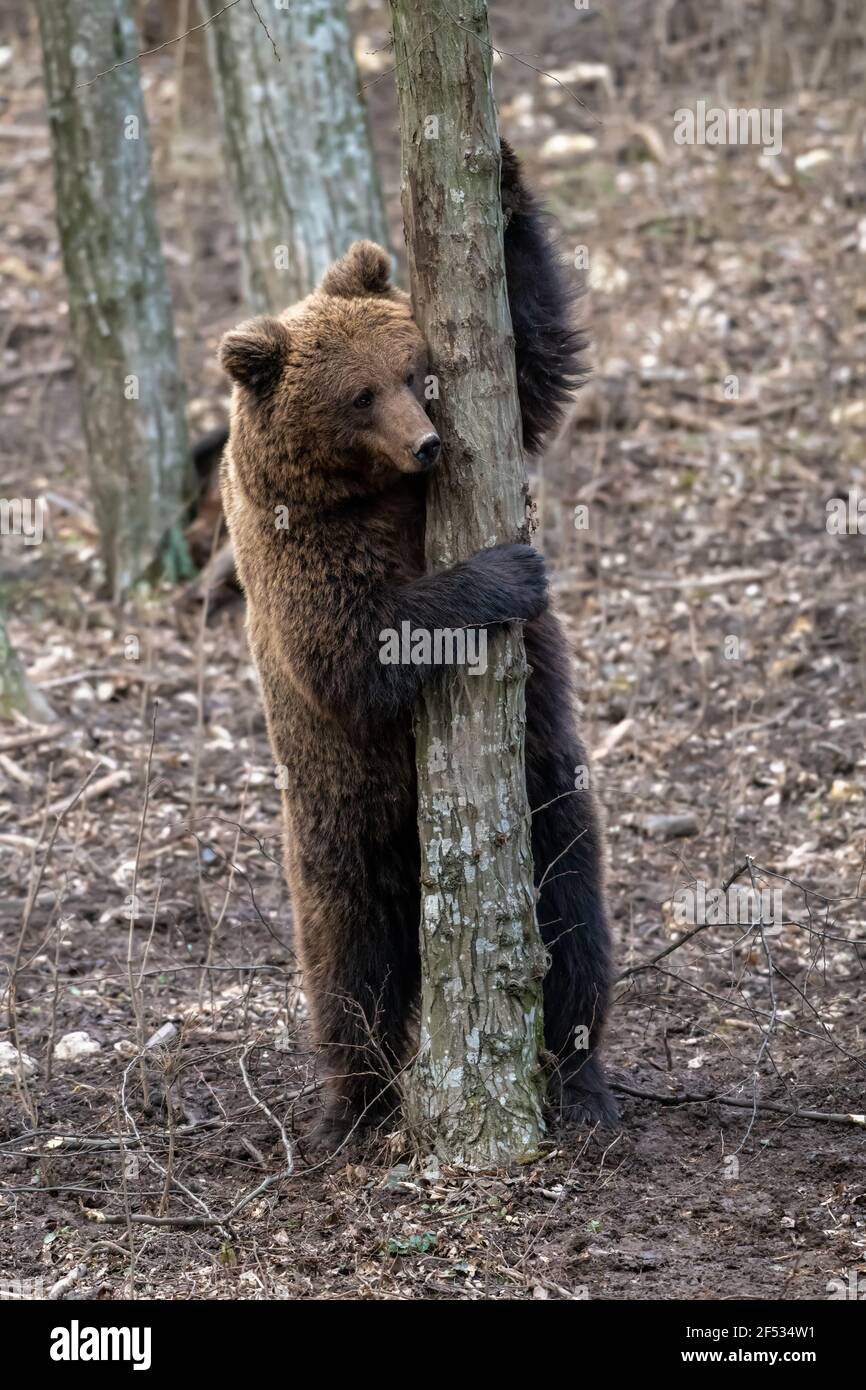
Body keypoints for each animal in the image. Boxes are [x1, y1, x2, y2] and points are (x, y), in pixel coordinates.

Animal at [218, 143, 616, 1147]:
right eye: (358, 395)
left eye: (415, 370)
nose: (431, 445)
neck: (366, 489)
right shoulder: (296, 546)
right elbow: (356, 647)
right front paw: (507, 572)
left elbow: (535, 363)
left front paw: (506, 181)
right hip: (338, 820)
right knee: (348, 967)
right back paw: (353, 1104)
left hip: (546, 791)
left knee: (571, 922)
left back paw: (582, 1078)